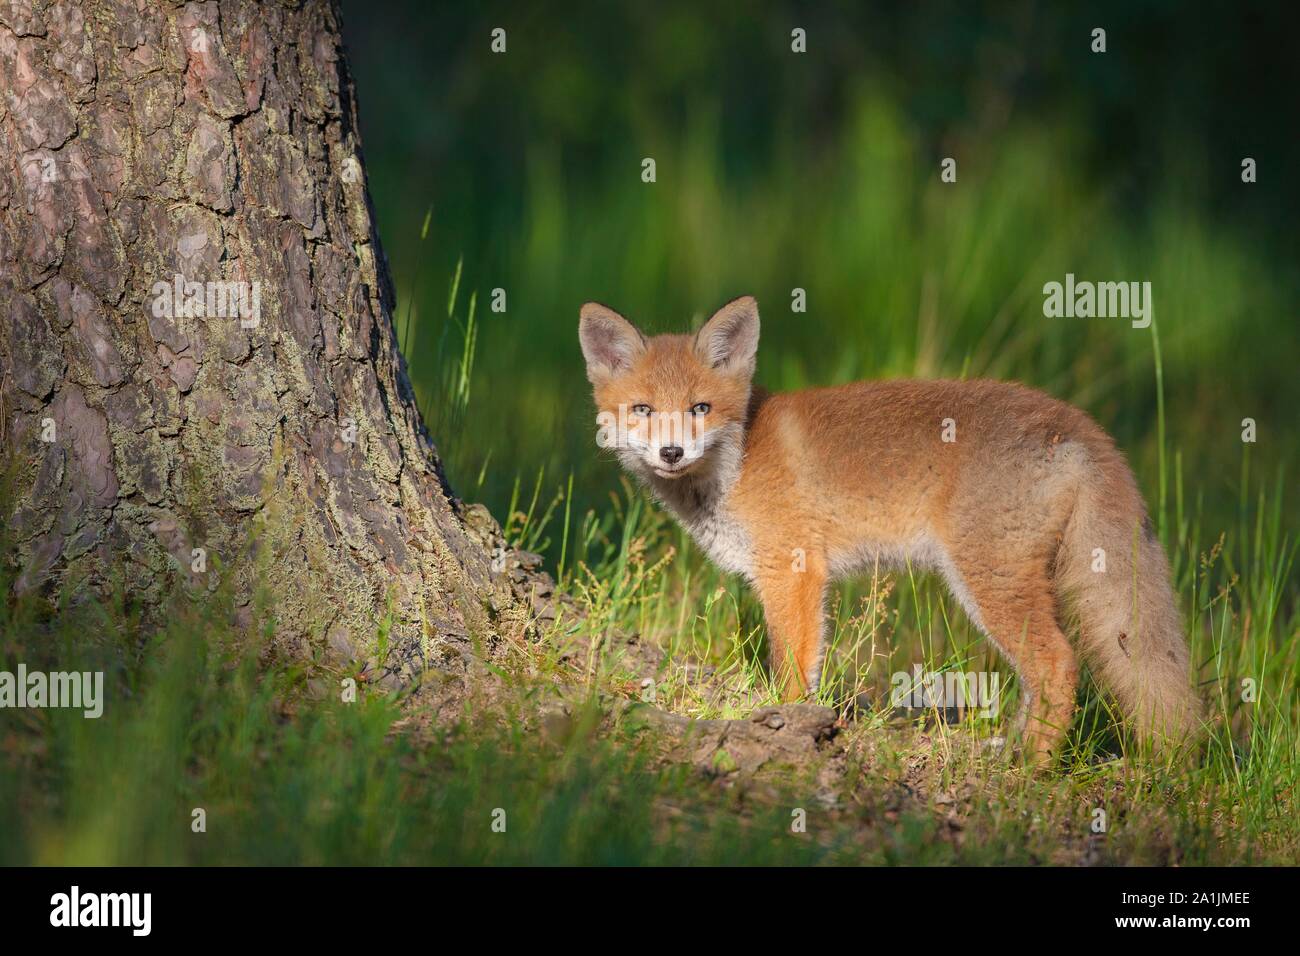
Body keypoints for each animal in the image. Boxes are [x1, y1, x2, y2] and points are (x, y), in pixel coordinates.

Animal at [579, 295, 1202, 761]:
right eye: (642, 410)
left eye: (700, 408)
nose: (672, 452)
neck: (737, 463)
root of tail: (1074, 418)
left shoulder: (793, 570)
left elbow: (791, 671)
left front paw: (783, 726)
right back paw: (1012, 751)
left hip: (988, 581)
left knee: (1058, 665)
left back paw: (1032, 770)